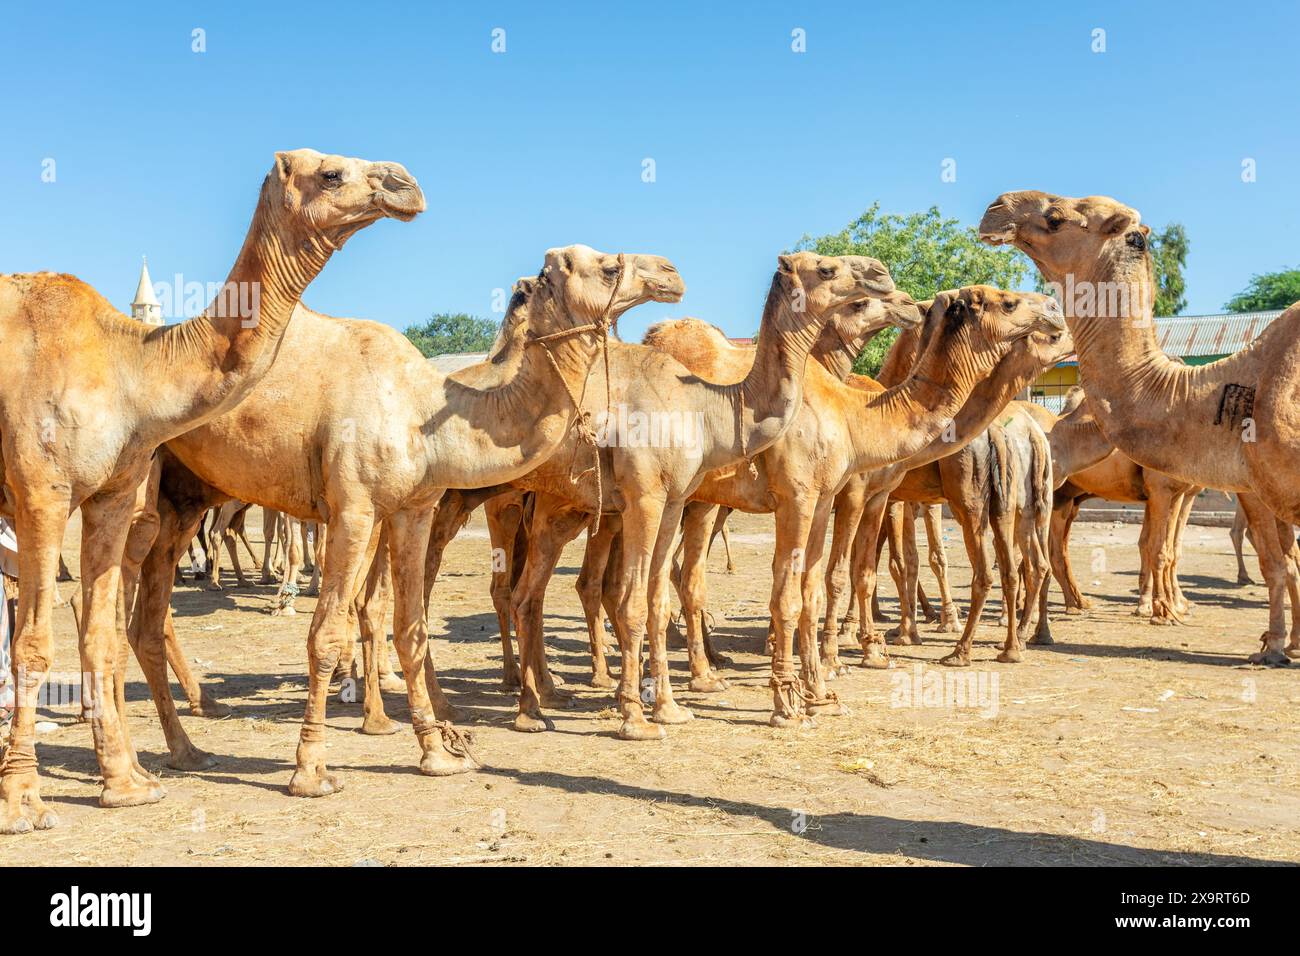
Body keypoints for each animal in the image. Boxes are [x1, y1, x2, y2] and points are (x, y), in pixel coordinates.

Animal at [0, 148, 424, 832]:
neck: (131, 366)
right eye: (330, 172)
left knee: (133, 617)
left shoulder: (114, 494)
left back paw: (178, 747)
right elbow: (33, 644)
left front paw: (124, 785)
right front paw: (21, 801)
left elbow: (98, 636)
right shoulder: (41, 491)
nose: (406, 184)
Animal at [128, 245, 685, 794]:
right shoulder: (353, 508)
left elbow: (411, 628)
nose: (671, 274)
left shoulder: (413, 509)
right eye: (609, 267)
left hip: (183, 498)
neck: (424, 411)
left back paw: (185, 748)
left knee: (146, 622)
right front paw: (310, 769)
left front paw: (437, 752)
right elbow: (326, 633)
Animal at [652, 286, 1066, 720]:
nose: (1056, 314)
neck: (858, 415)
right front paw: (813, 676)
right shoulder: (828, 495)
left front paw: (841, 668)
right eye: (1007, 302)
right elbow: (827, 579)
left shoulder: (855, 497)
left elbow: (845, 577)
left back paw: (704, 673)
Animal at [980, 190, 1300, 663]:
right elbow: (1168, 547)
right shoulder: (1192, 487)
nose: (996, 207)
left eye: (1056, 218)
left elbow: (1173, 547)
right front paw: (1165, 609)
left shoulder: (1197, 488)